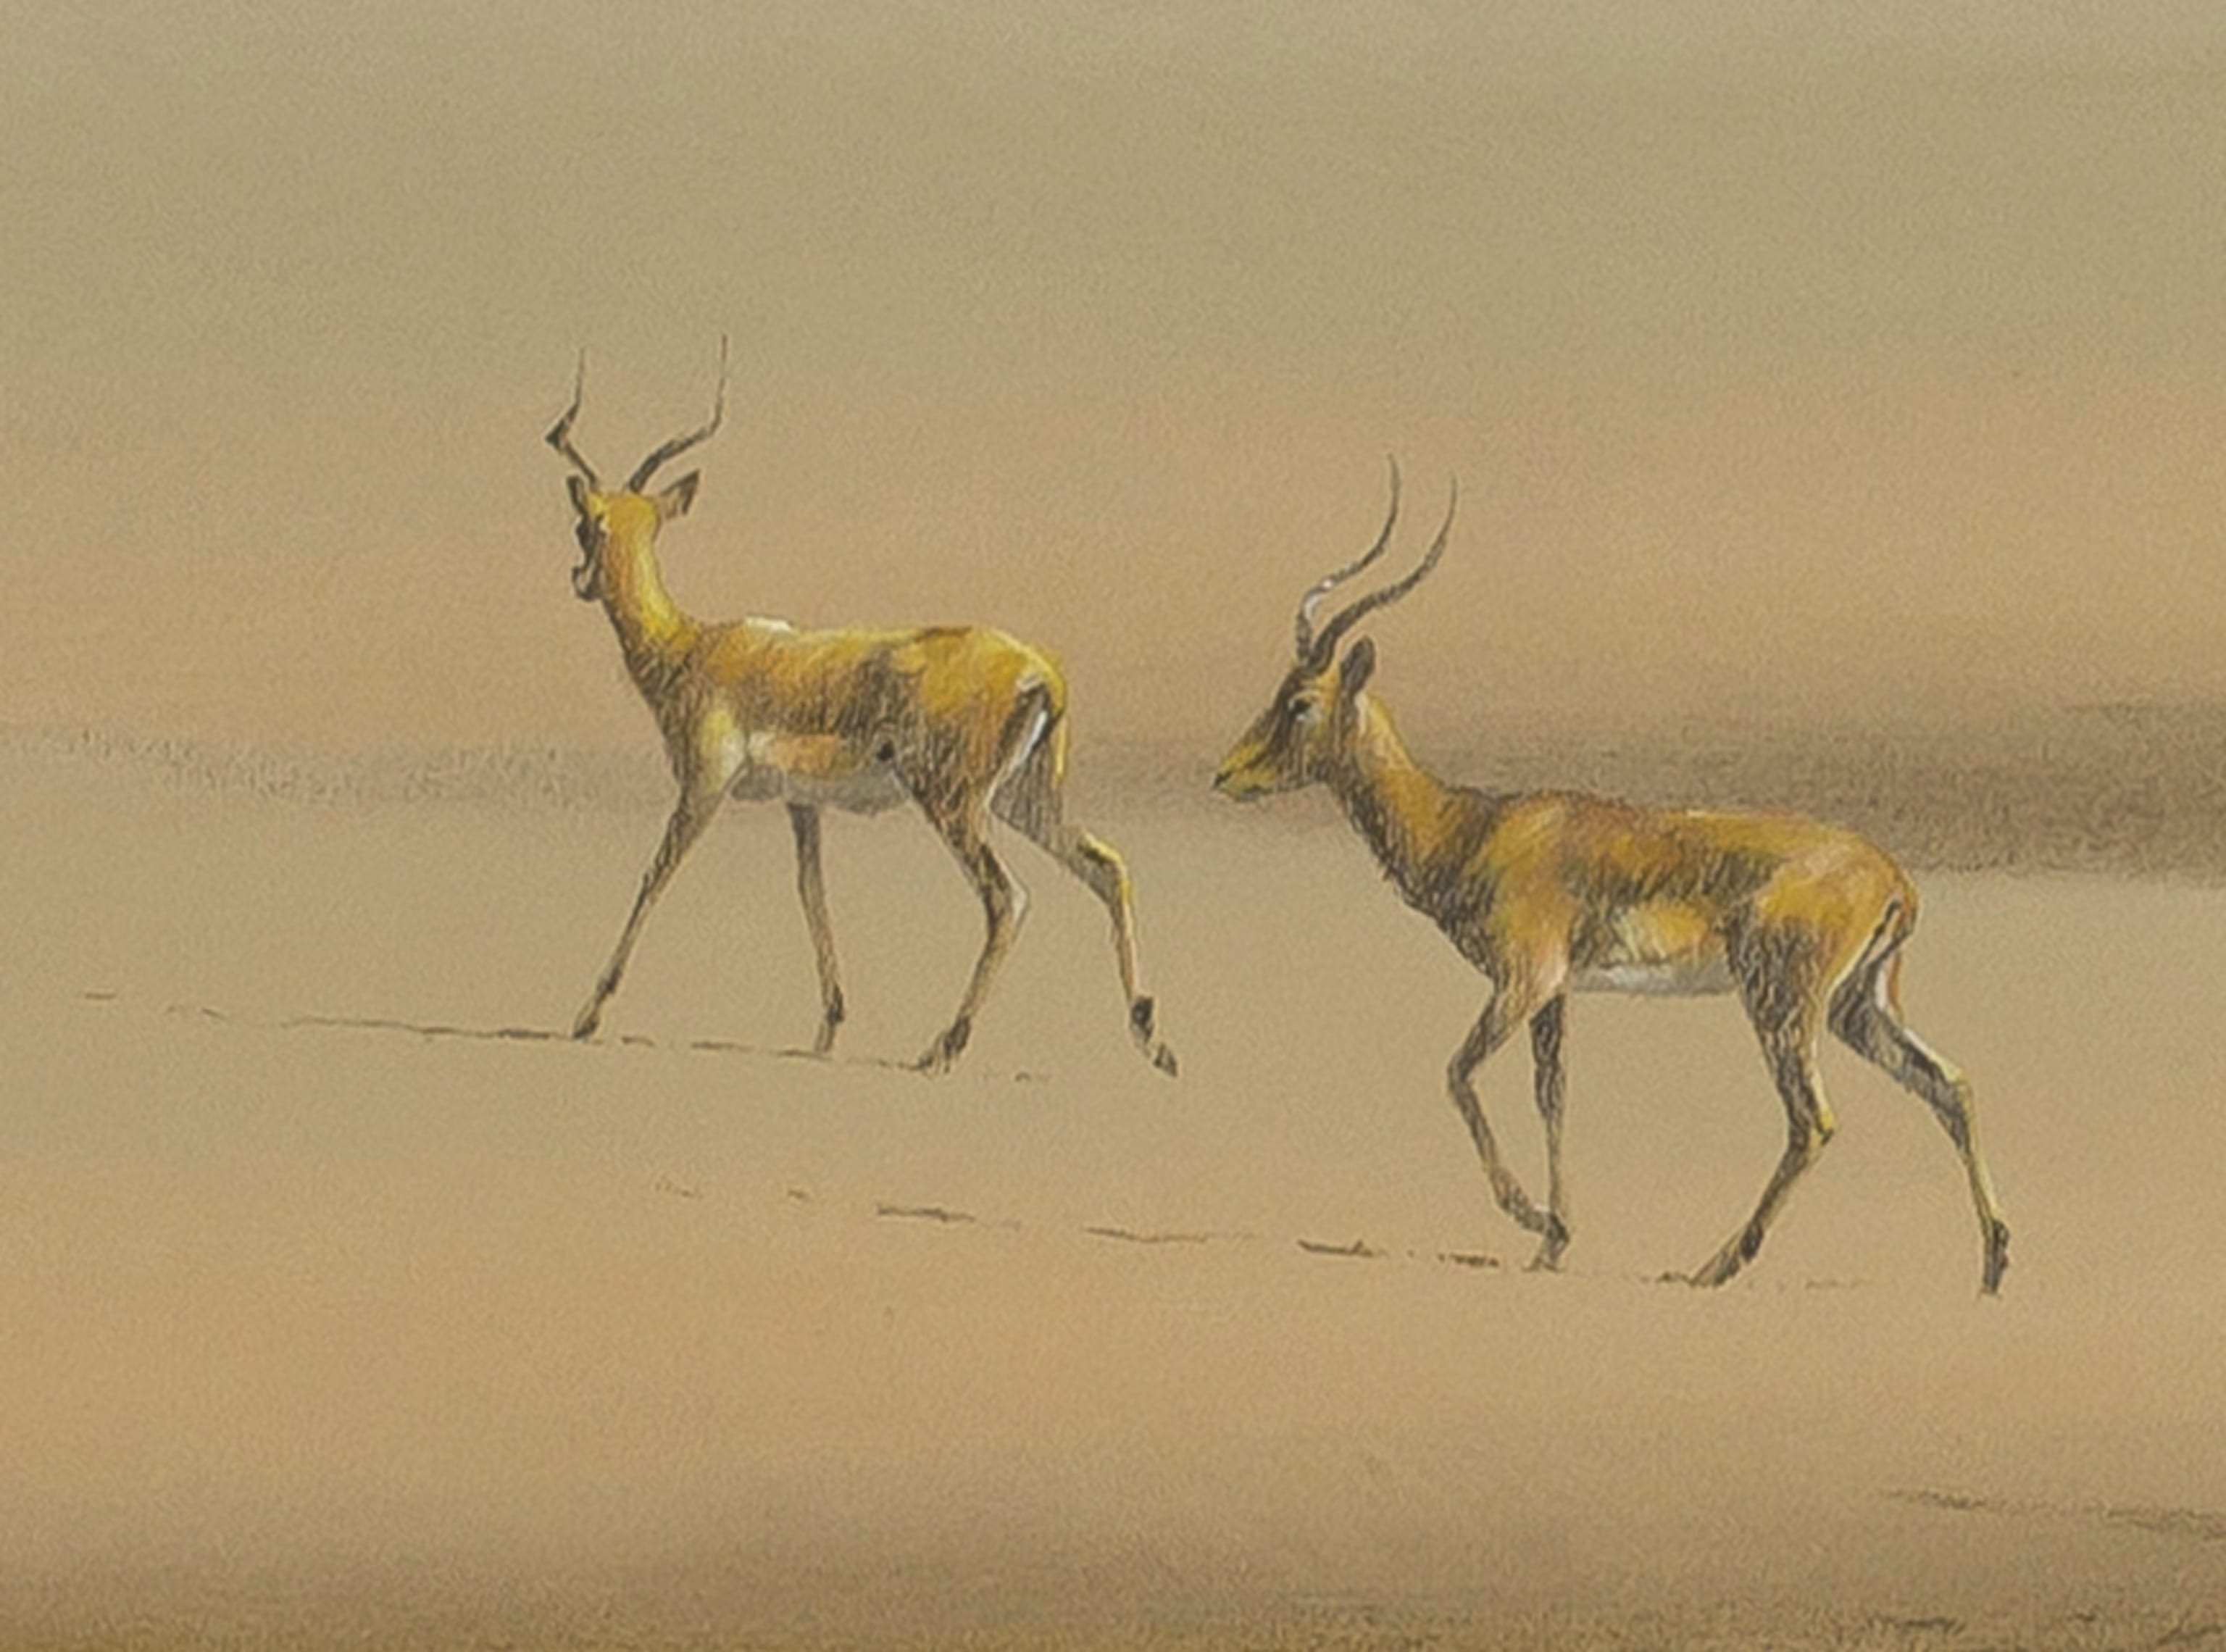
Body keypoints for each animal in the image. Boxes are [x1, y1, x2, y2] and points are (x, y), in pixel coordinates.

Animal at [545, 344, 1177, 1077]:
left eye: (585, 524)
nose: (579, 580)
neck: (693, 646)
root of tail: (1042, 672)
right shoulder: (802, 804)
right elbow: (812, 892)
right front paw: (828, 1029)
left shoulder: (704, 786)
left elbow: (655, 877)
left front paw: (588, 1015)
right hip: (1026, 801)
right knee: (1107, 867)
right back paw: (1154, 1041)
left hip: (954, 803)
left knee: (1007, 899)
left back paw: (943, 1046)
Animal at [1212, 464, 2010, 1292]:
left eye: (1301, 702)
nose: (1225, 775)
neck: (1473, 826)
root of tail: (1894, 878)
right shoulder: (1556, 994)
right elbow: (1552, 1099)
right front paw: (1554, 1242)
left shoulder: (1523, 979)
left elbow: (1458, 1074)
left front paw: (1535, 1219)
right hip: (1858, 1005)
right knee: (1949, 1084)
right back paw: (1993, 1265)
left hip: (1782, 1003)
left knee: (1813, 1121)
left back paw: (1715, 1266)